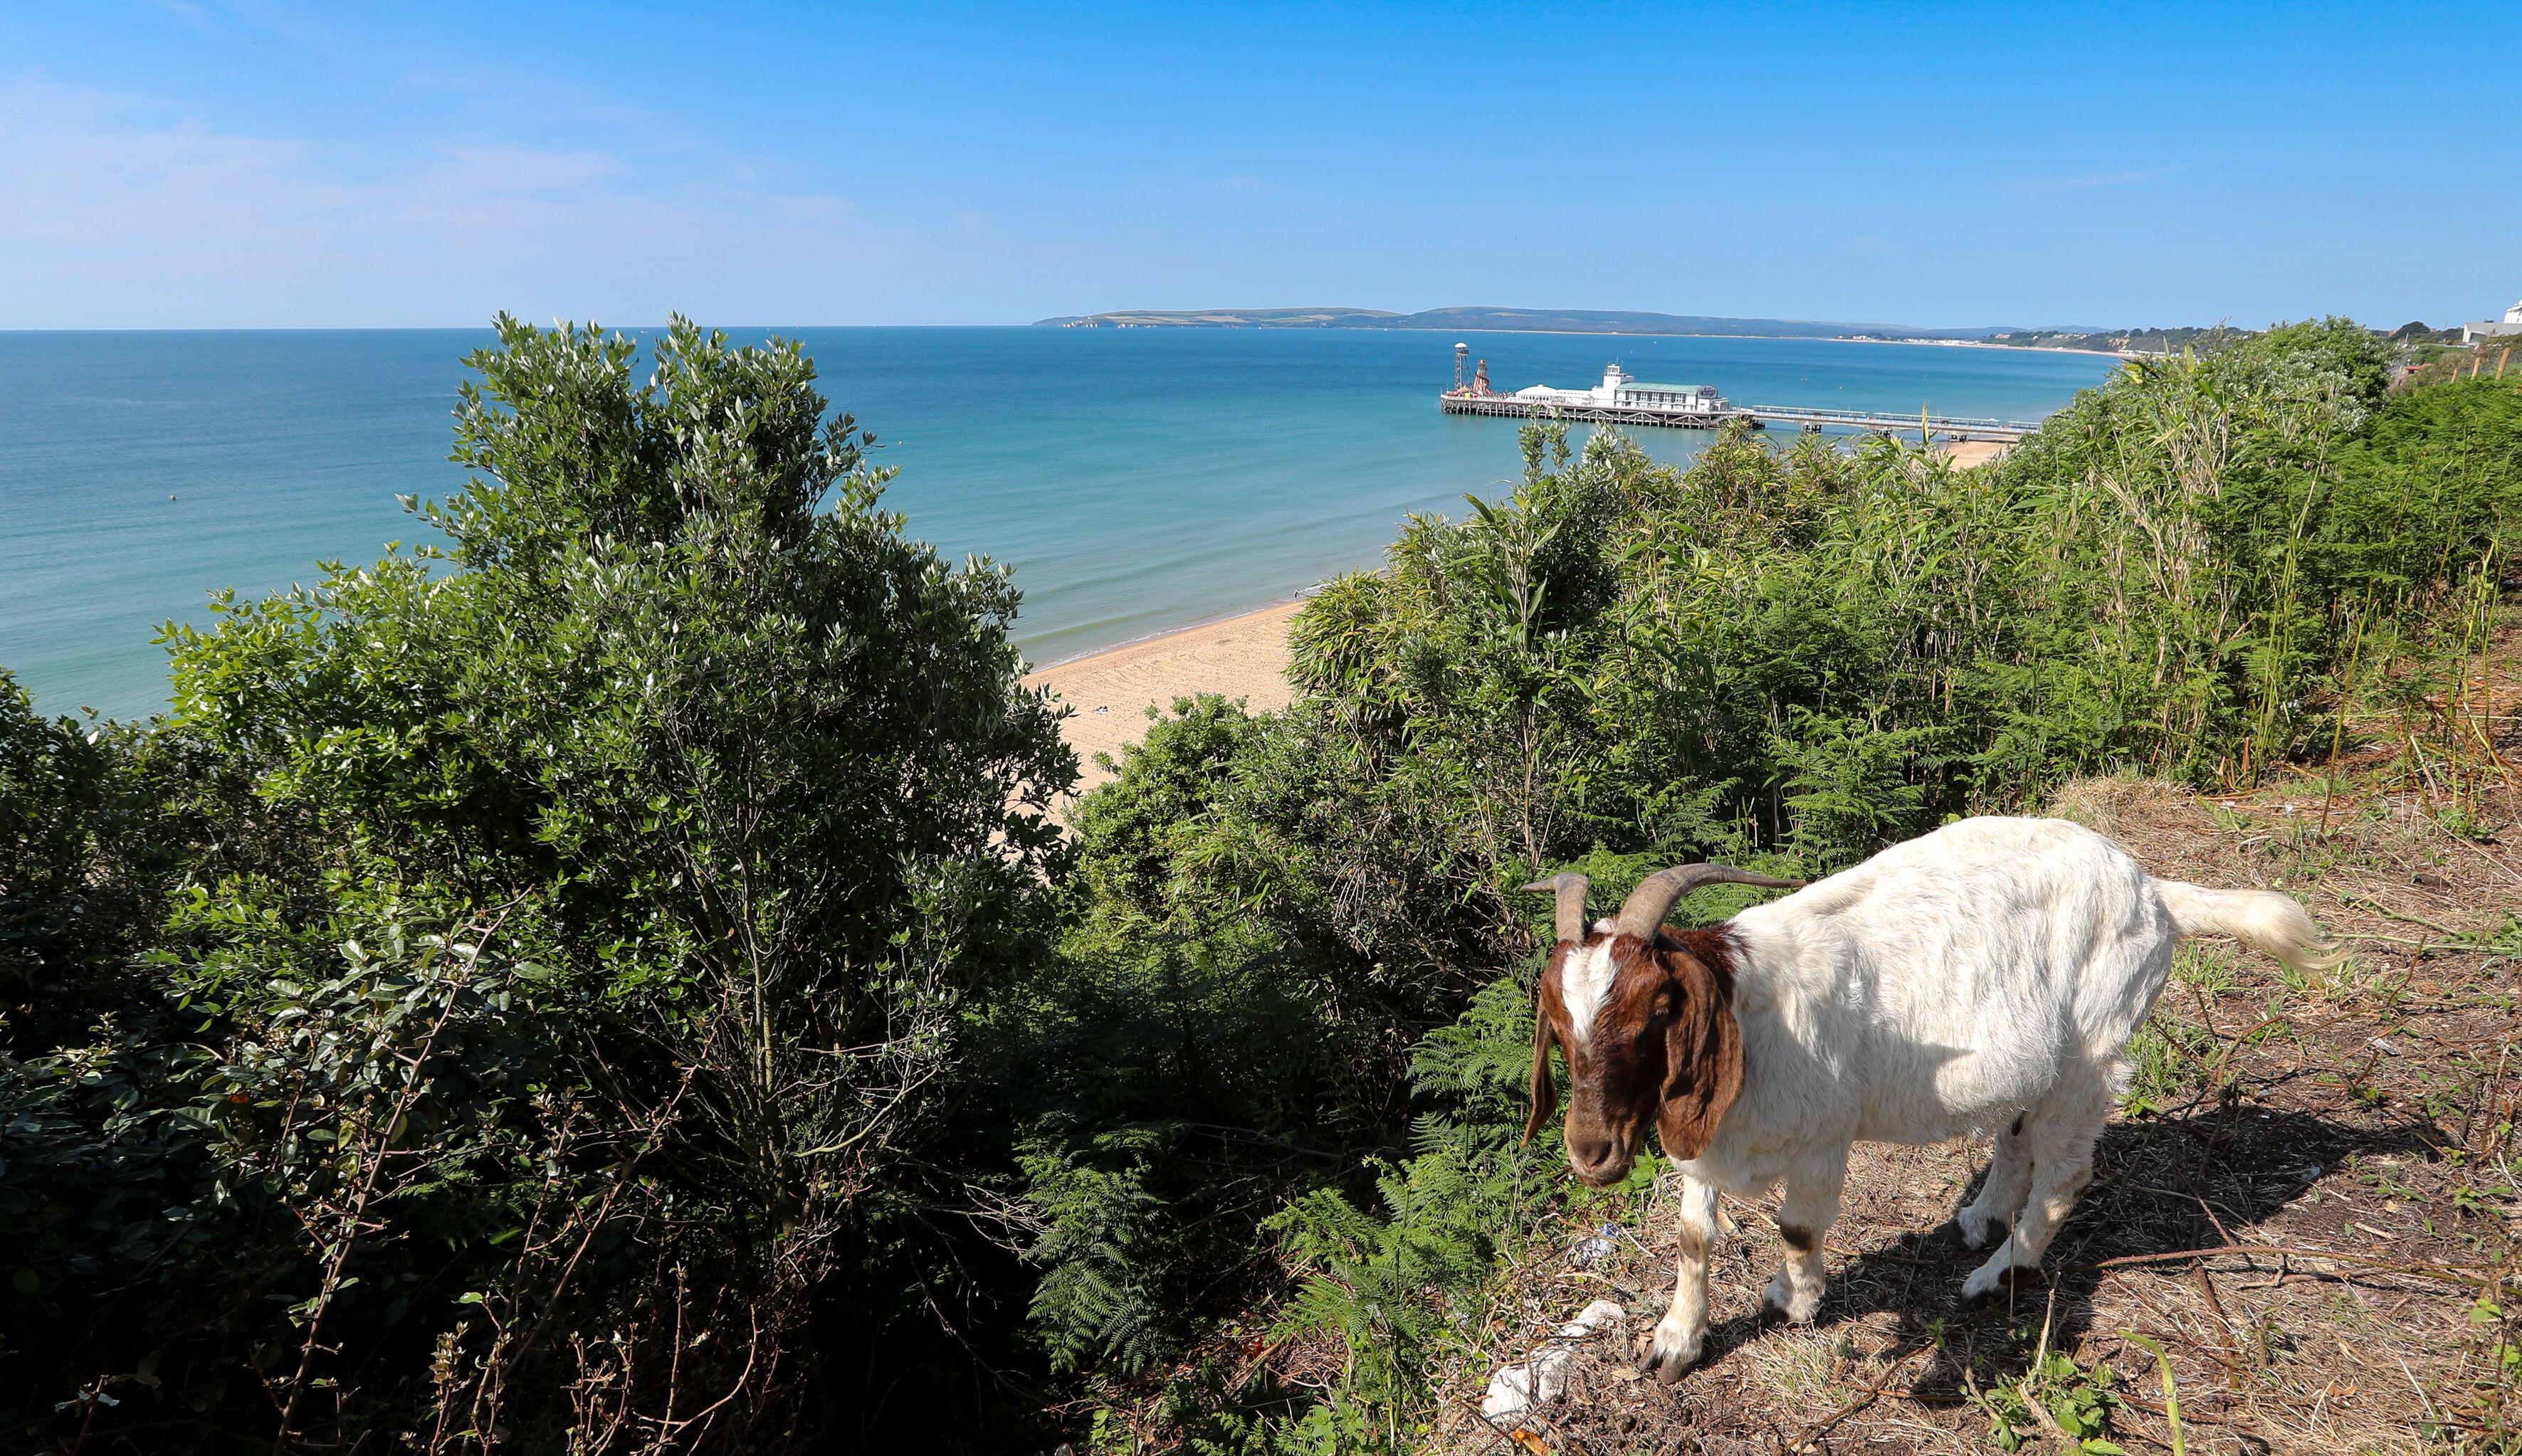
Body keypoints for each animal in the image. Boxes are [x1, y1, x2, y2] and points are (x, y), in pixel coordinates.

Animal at [1520, 815, 2339, 1382]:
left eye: (1656, 1009)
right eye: (1556, 1020)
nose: (1591, 1152)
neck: (1751, 1014)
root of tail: (2156, 892)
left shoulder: (1823, 1140)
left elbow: (1797, 1229)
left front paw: (1795, 1301)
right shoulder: (1703, 1145)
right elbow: (1693, 1239)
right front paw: (1674, 1345)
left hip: (2093, 1050)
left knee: (2067, 1175)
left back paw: (1994, 1275)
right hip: (2037, 1067)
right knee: (2016, 1139)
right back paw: (1979, 1218)